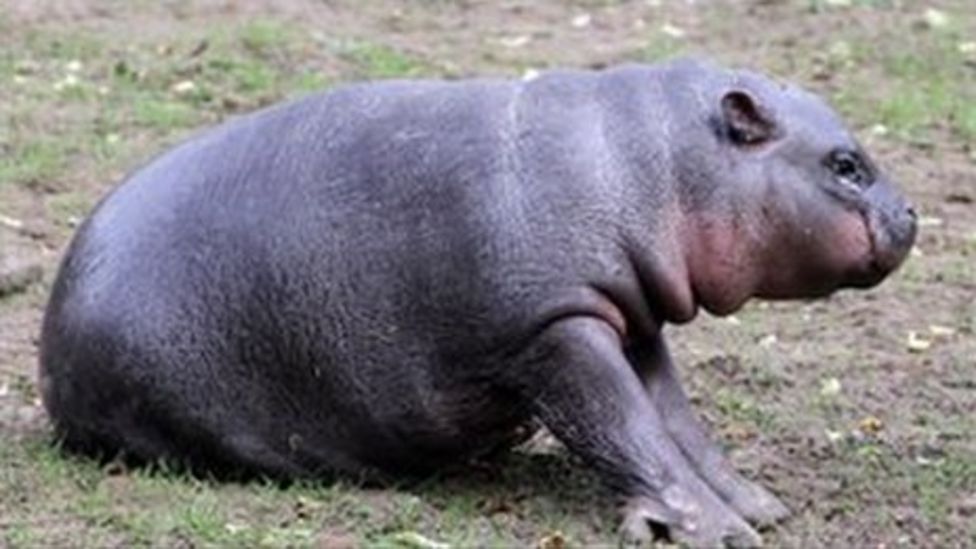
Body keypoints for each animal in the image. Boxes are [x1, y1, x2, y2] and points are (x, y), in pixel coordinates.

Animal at [40, 59, 916, 546]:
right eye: (844, 163)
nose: (911, 214)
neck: (654, 163)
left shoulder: (632, 318)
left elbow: (676, 421)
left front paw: (760, 507)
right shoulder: (553, 327)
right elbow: (624, 425)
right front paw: (717, 532)